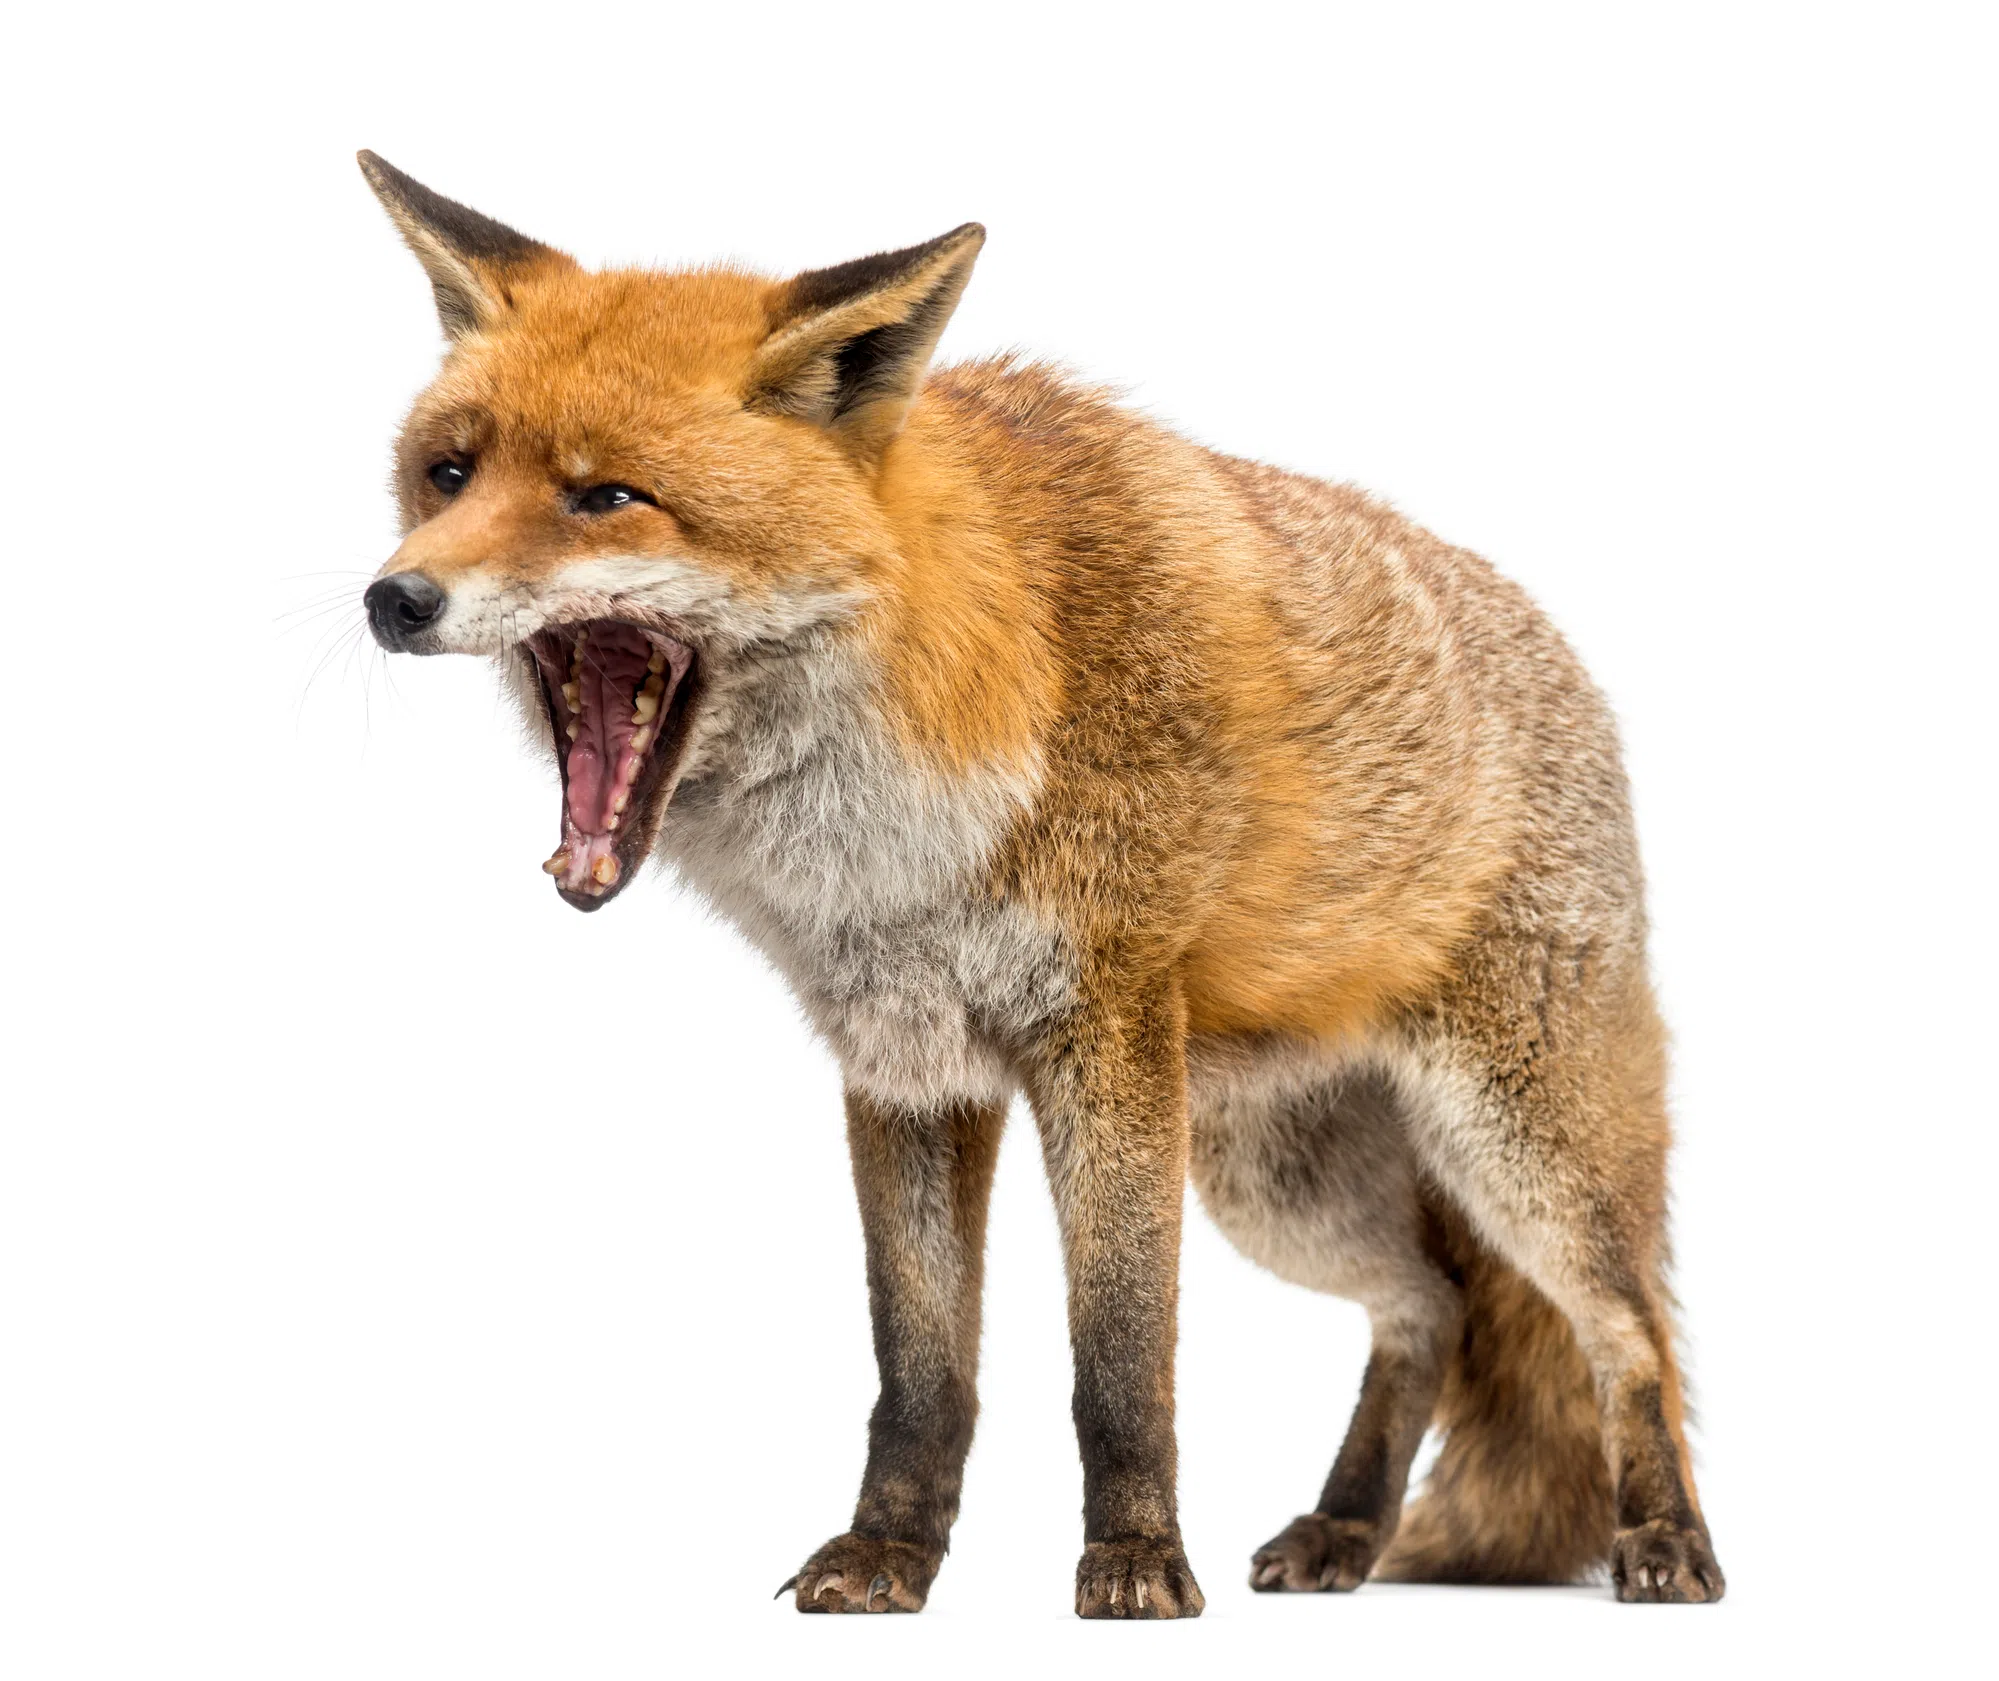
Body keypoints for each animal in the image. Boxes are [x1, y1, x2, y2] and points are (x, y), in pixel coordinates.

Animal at [355, 150, 1724, 1616]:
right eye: (446, 475)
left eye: (605, 496)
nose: (393, 599)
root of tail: (1552, 648)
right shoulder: (904, 1064)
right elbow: (919, 1364)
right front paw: (887, 1555)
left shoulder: (1101, 1040)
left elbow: (1117, 1355)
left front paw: (1134, 1561)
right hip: (1279, 1181)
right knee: (1431, 1310)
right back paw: (1342, 1530)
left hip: (1509, 1154)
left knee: (1628, 1330)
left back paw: (1666, 1540)